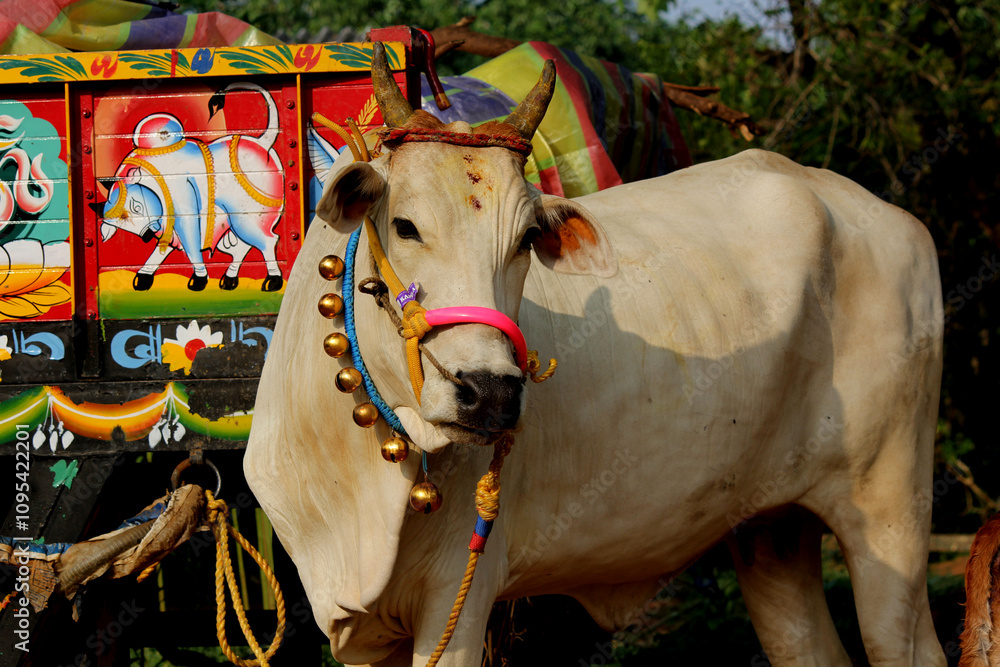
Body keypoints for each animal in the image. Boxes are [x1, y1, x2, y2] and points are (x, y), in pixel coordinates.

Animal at [245, 44, 947, 666]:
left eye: (527, 237)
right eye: (405, 226)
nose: (489, 392)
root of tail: (890, 218)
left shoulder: (459, 600)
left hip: (892, 512)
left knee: (906, 645)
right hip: (771, 531)